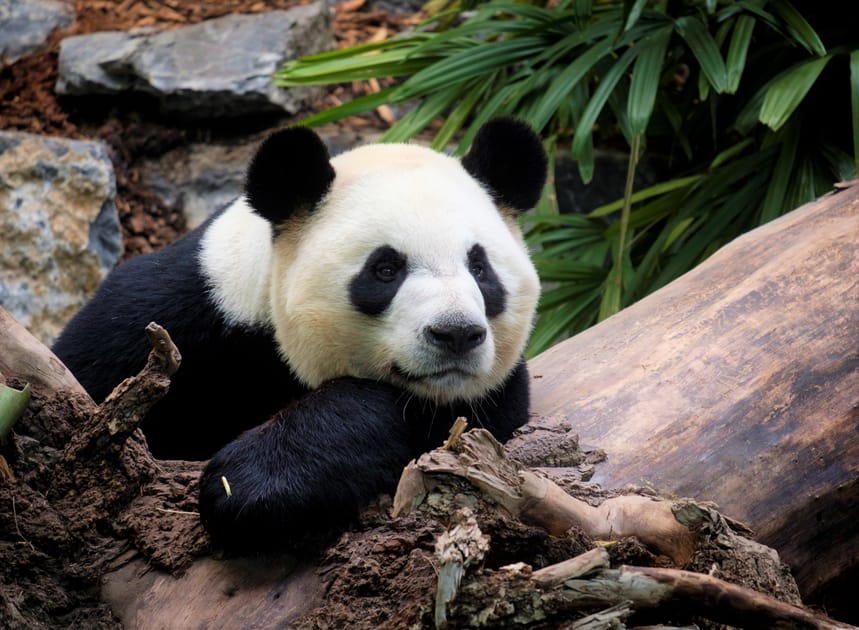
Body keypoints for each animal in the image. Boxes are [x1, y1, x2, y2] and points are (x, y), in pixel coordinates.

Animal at [52, 118, 547, 550]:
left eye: (480, 268)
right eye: (386, 269)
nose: (457, 333)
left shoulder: (484, 395)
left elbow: (437, 415)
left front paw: (252, 486)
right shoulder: (171, 312)